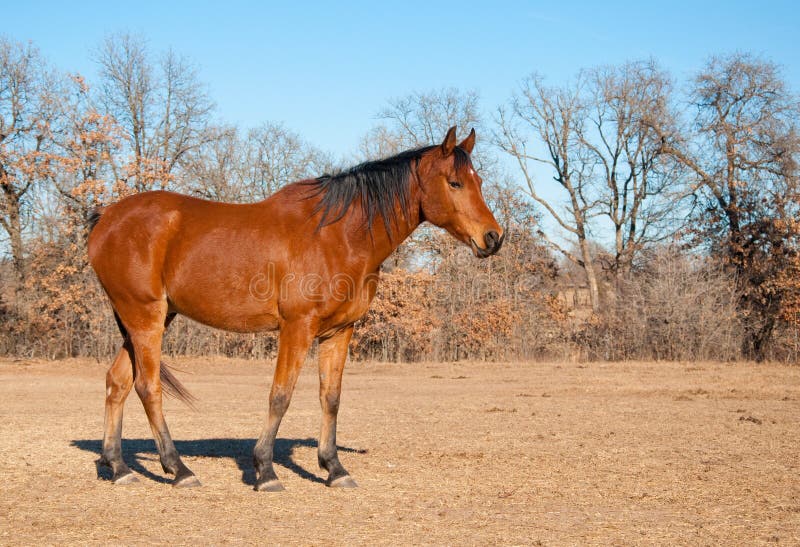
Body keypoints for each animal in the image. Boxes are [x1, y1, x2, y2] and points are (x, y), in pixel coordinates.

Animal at [87, 126, 504, 491]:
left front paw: (334, 468)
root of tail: (106, 219)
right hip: (145, 318)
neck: (338, 235)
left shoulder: (339, 332)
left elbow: (331, 398)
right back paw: (178, 469)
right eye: (454, 182)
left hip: (145, 322)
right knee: (148, 387)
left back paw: (119, 467)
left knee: (117, 382)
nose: (494, 237)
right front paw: (265, 470)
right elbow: (281, 395)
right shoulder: (297, 328)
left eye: (479, 181)